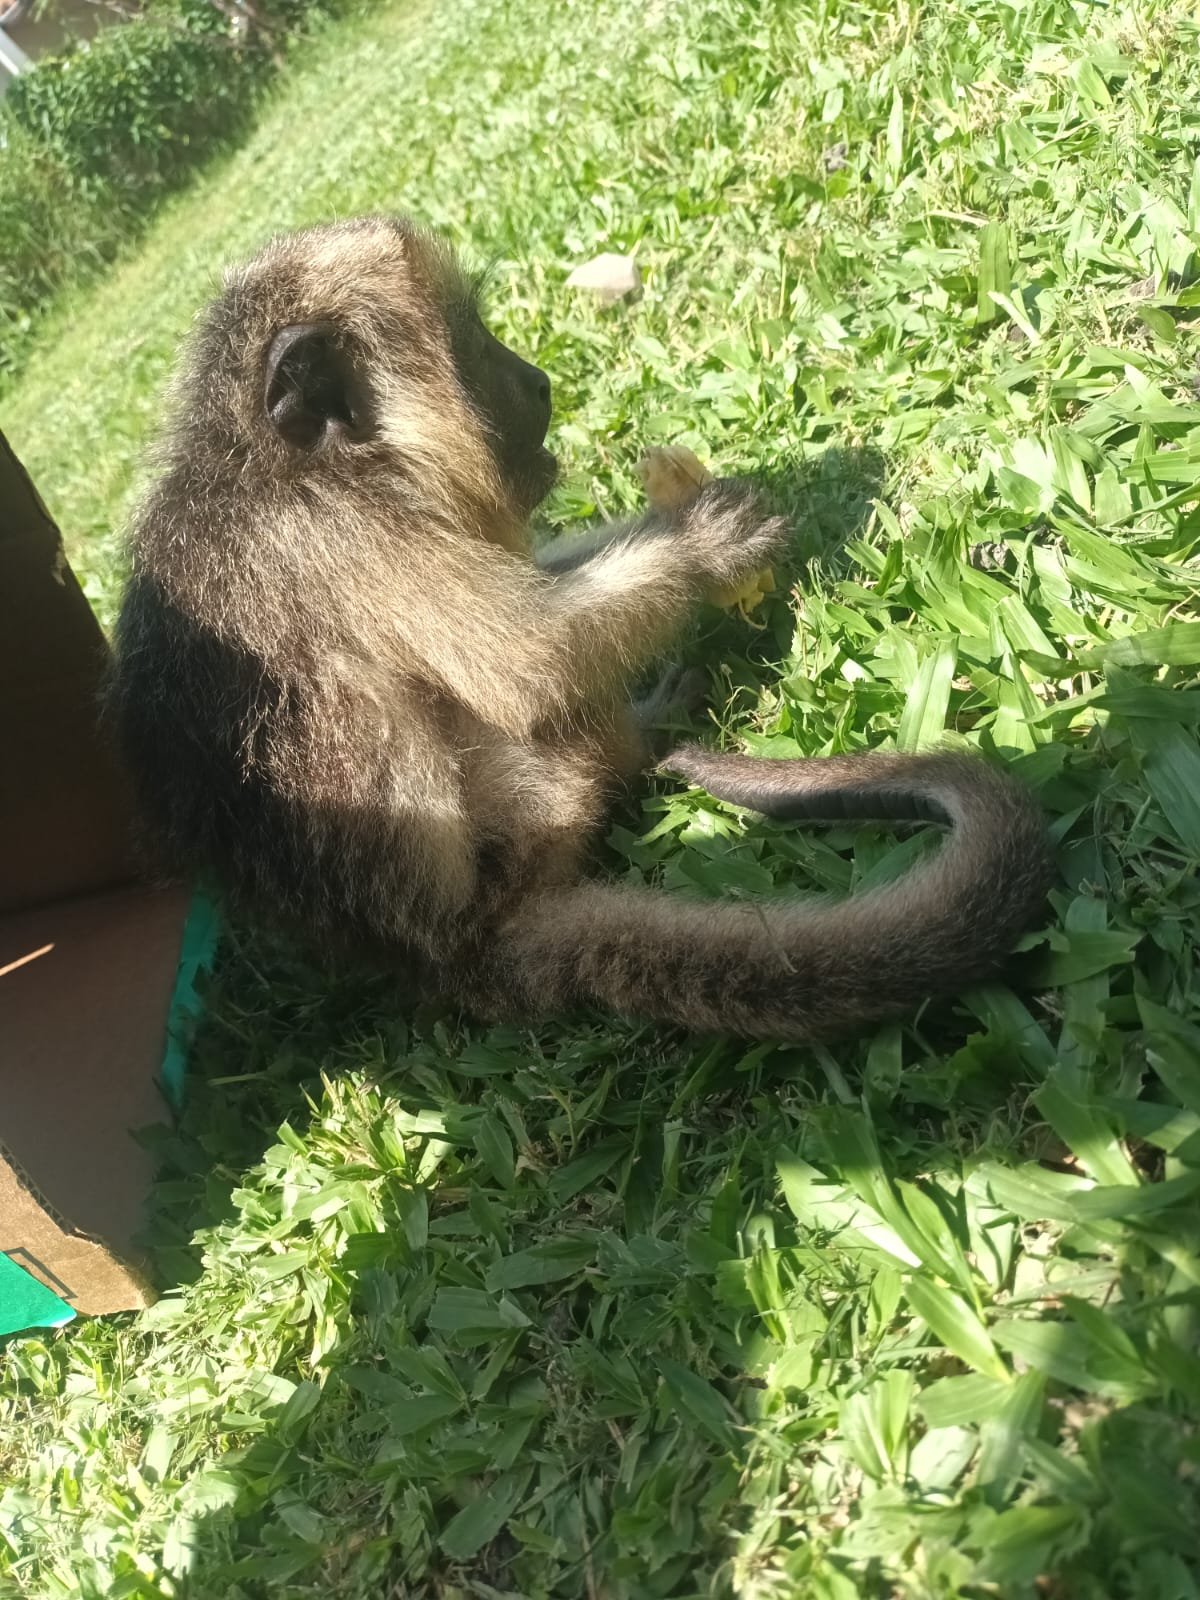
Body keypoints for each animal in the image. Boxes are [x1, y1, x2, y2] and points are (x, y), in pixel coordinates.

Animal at [105, 215, 1052, 1043]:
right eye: (475, 347)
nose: (539, 380)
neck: (273, 457)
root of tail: (450, 956)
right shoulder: (338, 530)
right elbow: (528, 662)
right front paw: (703, 548)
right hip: (538, 805)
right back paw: (643, 739)